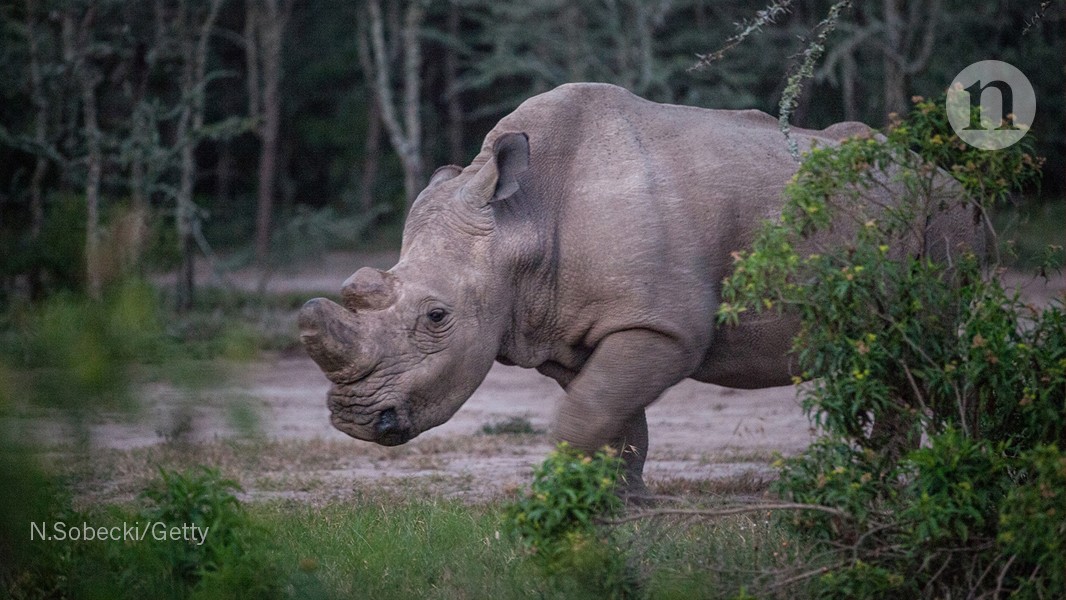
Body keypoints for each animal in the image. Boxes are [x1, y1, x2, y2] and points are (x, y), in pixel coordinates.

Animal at [299, 83, 973, 494]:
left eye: (437, 317)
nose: (355, 420)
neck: (523, 222)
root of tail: (945, 174)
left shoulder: (661, 326)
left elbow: (587, 416)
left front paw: (566, 506)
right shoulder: (568, 327)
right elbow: (610, 418)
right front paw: (621, 505)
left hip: (945, 216)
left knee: (925, 344)